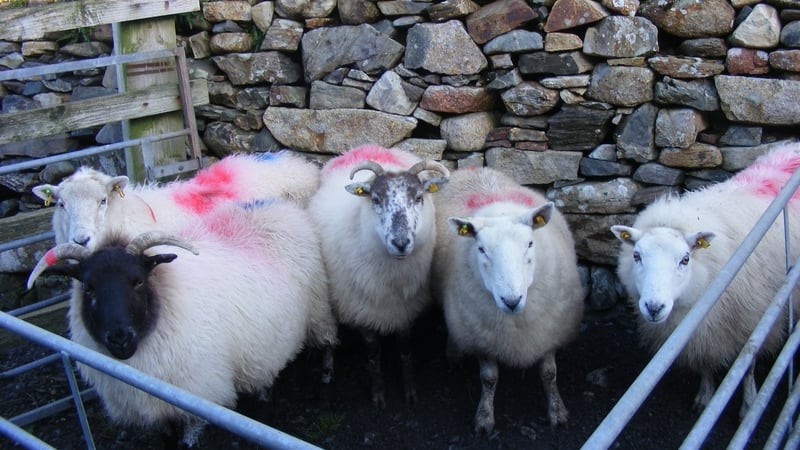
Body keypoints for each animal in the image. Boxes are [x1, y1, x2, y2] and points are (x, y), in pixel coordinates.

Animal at [26, 197, 331, 448]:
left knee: (326, 342)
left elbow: (186, 442)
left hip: (318, 309)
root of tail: (273, 204)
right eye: (88, 288)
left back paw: (324, 378)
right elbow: (166, 439)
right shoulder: (159, 403)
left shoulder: (198, 392)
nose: (120, 338)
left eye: (138, 281)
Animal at [307, 144, 450, 407]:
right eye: (375, 199)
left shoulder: (404, 311)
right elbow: (373, 354)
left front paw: (409, 391)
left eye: (418, 197)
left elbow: (405, 350)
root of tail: (365, 146)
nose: (401, 243)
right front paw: (378, 393)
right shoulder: (362, 313)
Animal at [431, 167, 584, 434]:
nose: (511, 300)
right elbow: (489, 379)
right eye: (481, 249)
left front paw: (557, 411)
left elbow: (549, 373)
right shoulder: (481, 338)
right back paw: (453, 353)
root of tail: (472, 168)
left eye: (530, 243)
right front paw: (484, 417)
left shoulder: (550, 331)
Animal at [611, 141, 800, 419]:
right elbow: (705, 364)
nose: (654, 307)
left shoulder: (757, 318)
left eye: (685, 259)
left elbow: (748, 363)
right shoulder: (702, 329)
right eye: (636, 255)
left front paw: (749, 403)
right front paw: (704, 395)